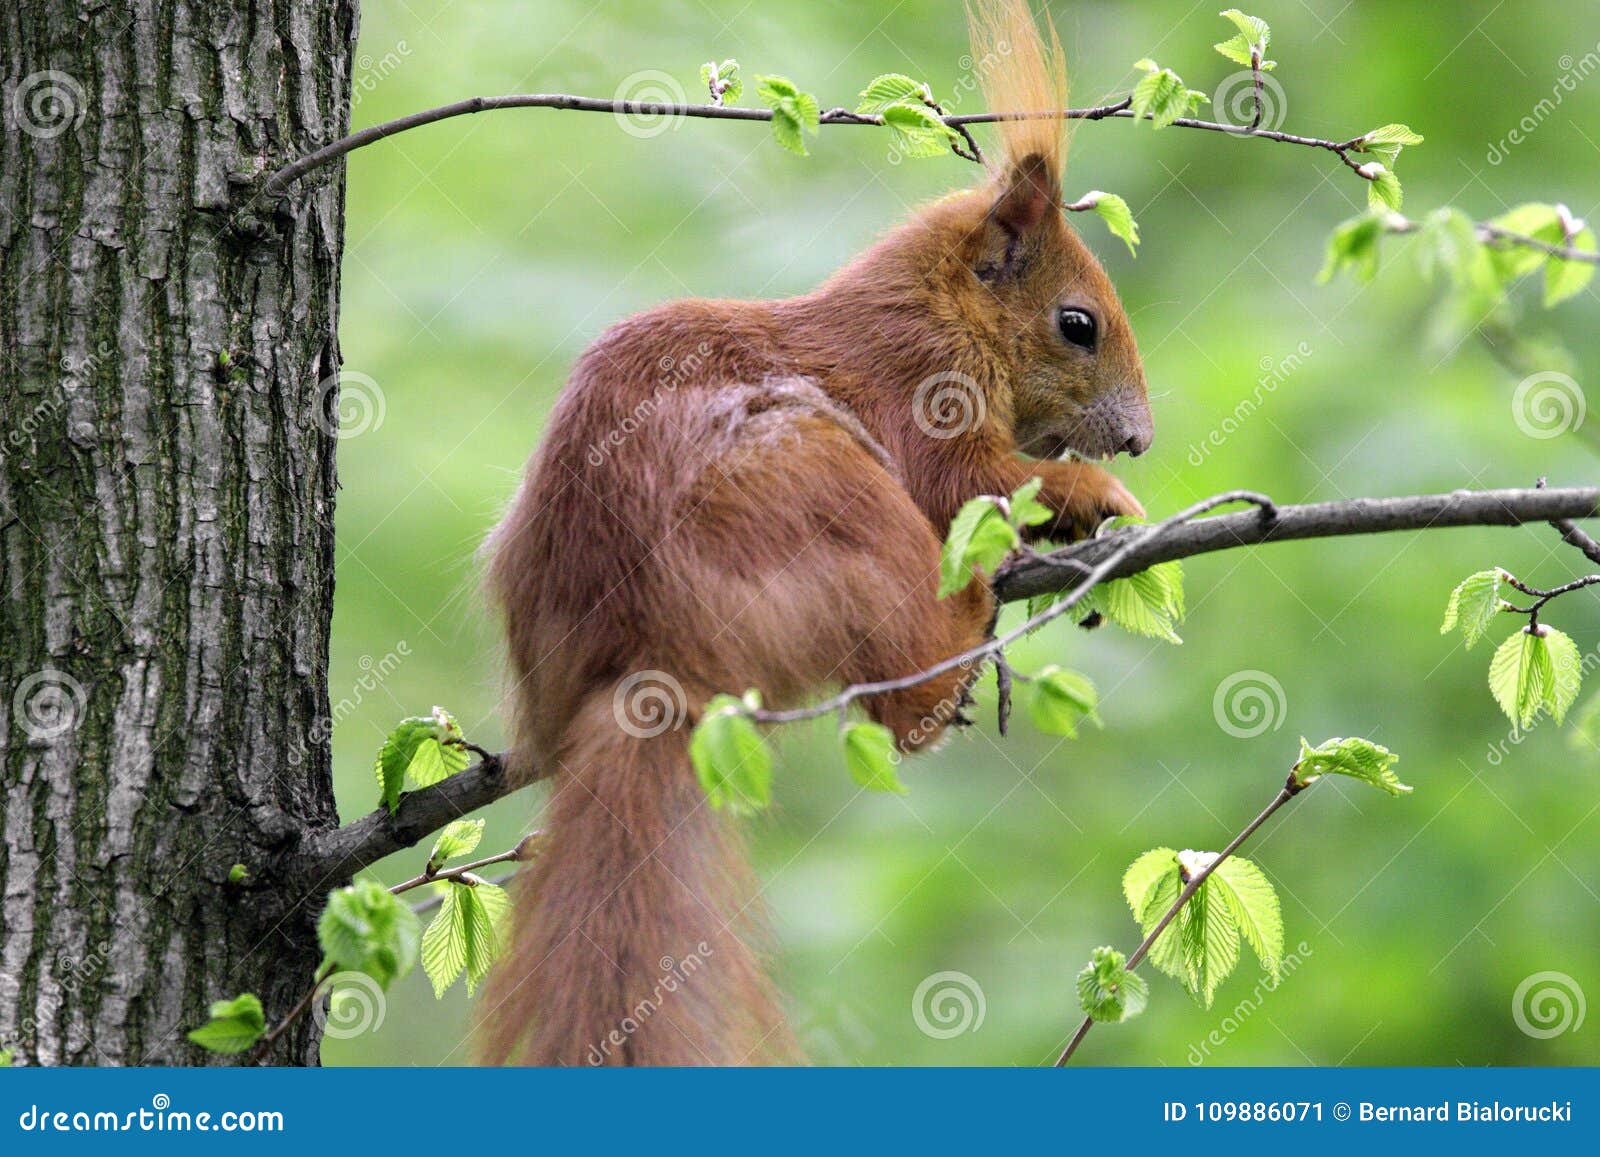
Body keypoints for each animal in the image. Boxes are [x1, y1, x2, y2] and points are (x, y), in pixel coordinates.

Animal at [478, 0, 1153, 1065]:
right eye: (1078, 323)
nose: (1138, 438)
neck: (935, 307)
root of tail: (640, 657)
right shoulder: (923, 392)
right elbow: (977, 484)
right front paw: (1099, 498)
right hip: (830, 499)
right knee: (902, 706)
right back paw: (965, 629)